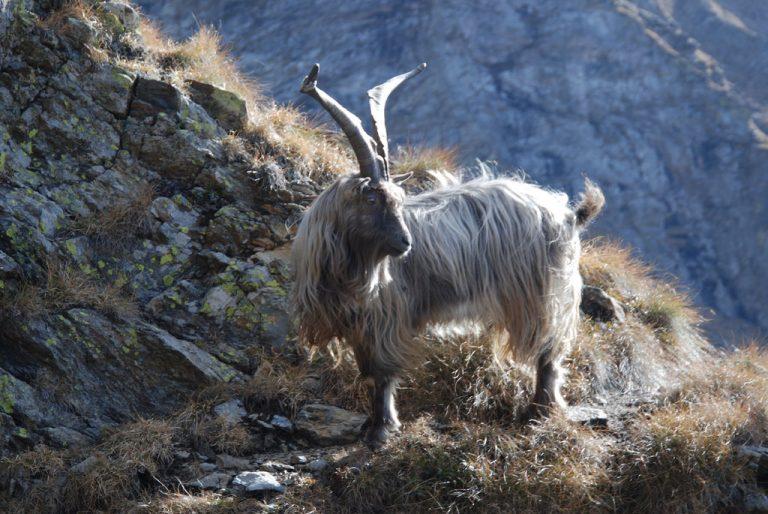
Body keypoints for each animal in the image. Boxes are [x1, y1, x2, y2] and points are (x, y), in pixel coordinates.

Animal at [291, 63, 604, 448]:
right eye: (372, 198)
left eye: (397, 199)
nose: (406, 243)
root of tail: (568, 214)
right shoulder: (357, 325)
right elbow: (368, 370)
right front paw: (369, 425)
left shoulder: (386, 319)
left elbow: (382, 373)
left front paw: (382, 429)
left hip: (542, 294)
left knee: (548, 352)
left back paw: (539, 411)